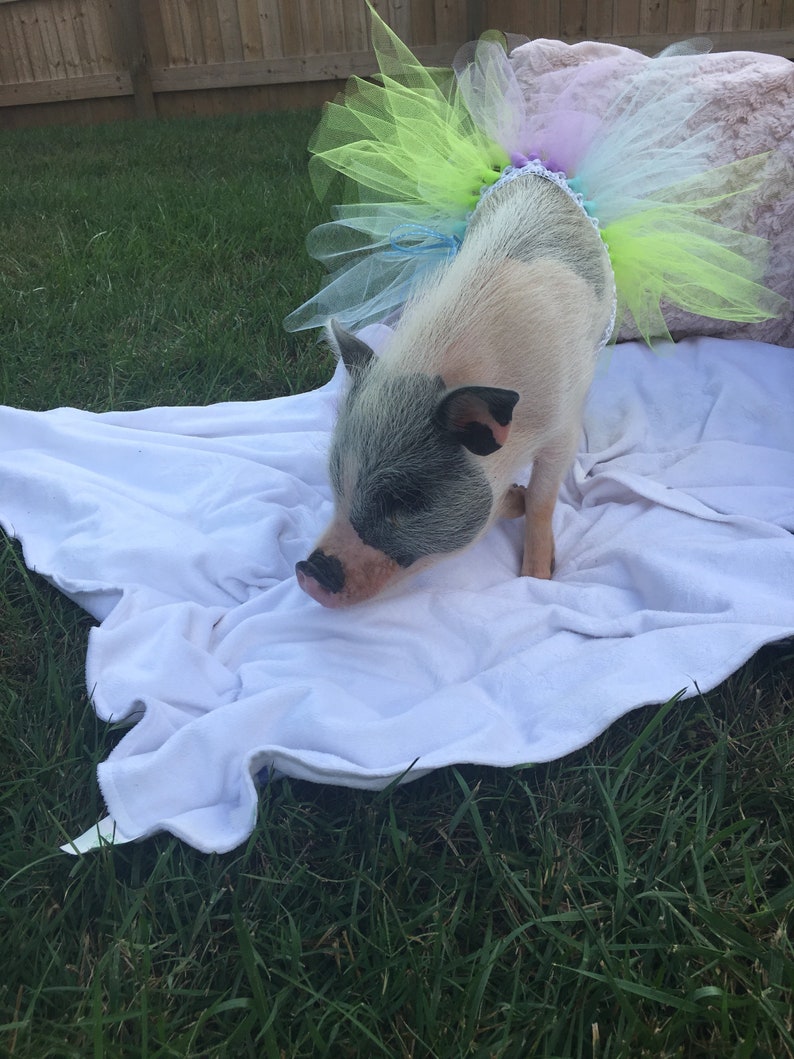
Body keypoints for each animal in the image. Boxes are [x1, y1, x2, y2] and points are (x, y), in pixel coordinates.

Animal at [295, 172, 615, 607]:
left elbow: (542, 500)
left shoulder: (562, 429)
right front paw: (514, 500)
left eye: (407, 500)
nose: (305, 571)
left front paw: (538, 578)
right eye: (336, 478)